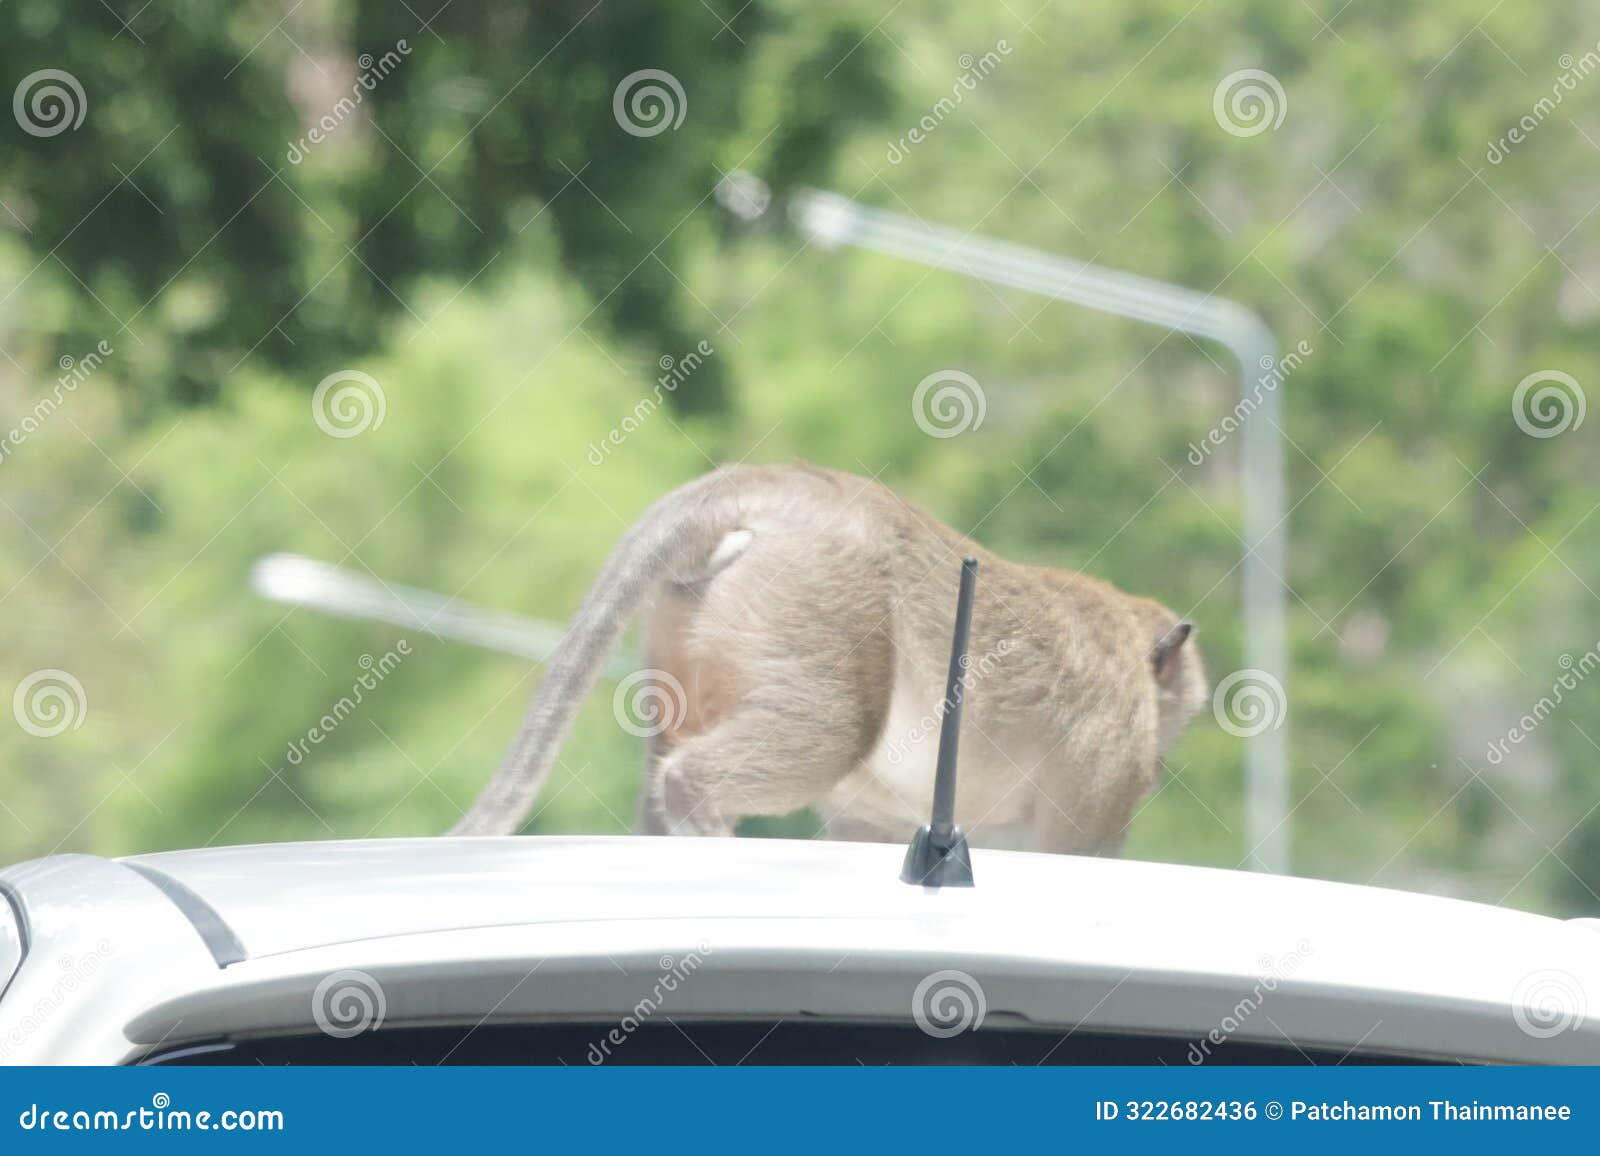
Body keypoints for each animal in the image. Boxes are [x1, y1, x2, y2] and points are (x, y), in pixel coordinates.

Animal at [451, 463, 1207, 853]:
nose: (1168, 753)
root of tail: (766, 481)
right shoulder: (1111, 750)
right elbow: (1077, 849)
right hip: (822, 593)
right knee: (835, 731)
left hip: (690, 615)